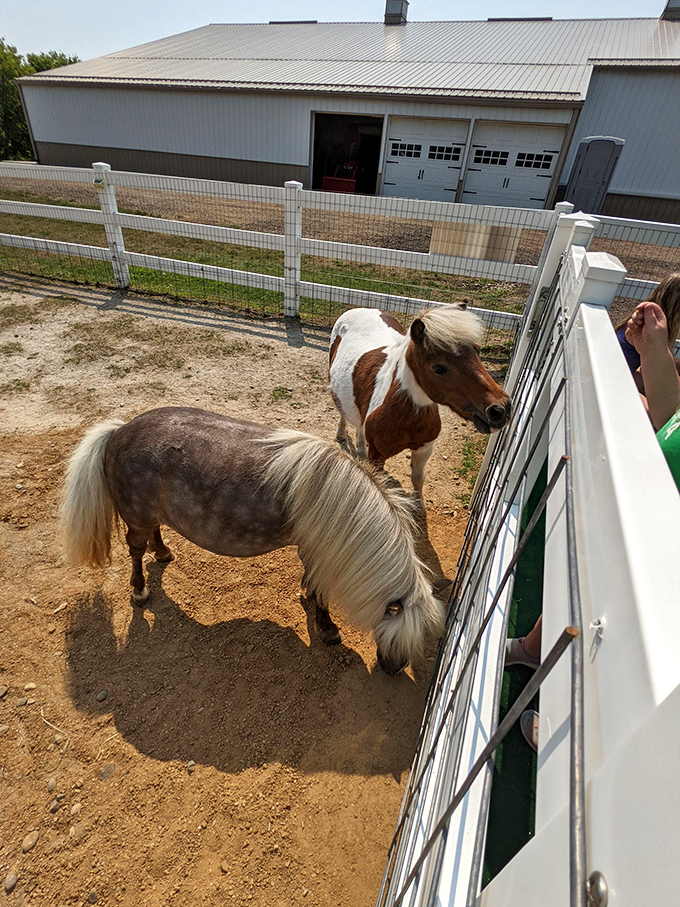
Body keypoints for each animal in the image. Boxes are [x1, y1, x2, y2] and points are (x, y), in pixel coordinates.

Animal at [59, 406, 445, 675]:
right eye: (404, 634)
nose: (393, 669)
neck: (341, 503)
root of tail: (118, 431)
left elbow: (313, 583)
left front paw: (308, 599)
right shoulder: (316, 551)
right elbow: (321, 592)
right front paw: (328, 628)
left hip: (151, 514)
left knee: (153, 535)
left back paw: (164, 552)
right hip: (137, 518)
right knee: (136, 551)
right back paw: (140, 590)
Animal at [328, 306, 512, 497]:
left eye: (477, 350)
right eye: (438, 368)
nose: (501, 409)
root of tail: (362, 309)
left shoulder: (424, 449)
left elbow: (417, 478)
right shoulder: (377, 454)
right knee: (342, 411)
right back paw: (341, 434)